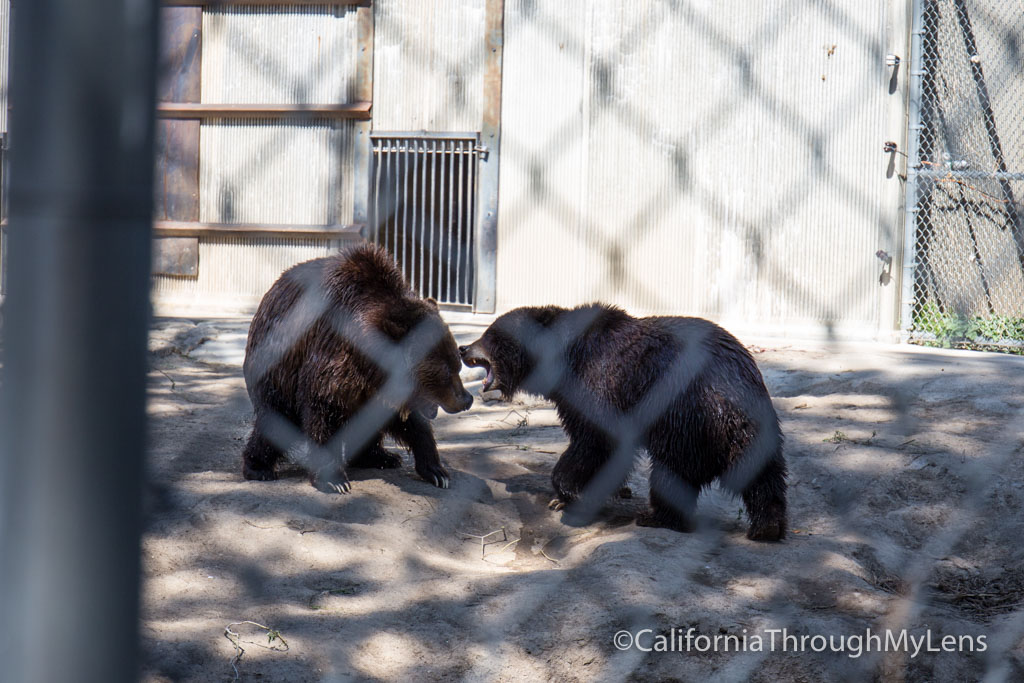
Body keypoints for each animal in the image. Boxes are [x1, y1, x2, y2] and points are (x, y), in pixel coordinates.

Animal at [242, 243, 473, 493]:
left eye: (457, 365)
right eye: (446, 372)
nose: (467, 399)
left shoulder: (385, 391)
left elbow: (413, 425)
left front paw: (437, 471)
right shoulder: (329, 357)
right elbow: (320, 413)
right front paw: (335, 480)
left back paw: (382, 457)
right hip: (275, 370)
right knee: (275, 420)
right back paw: (259, 467)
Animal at [460, 304, 787, 541]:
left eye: (489, 334)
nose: (463, 349)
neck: (564, 356)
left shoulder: (599, 381)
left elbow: (595, 441)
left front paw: (567, 494)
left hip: (687, 415)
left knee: (671, 473)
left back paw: (655, 516)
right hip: (757, 427)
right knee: (765, 479)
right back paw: (767, 527)